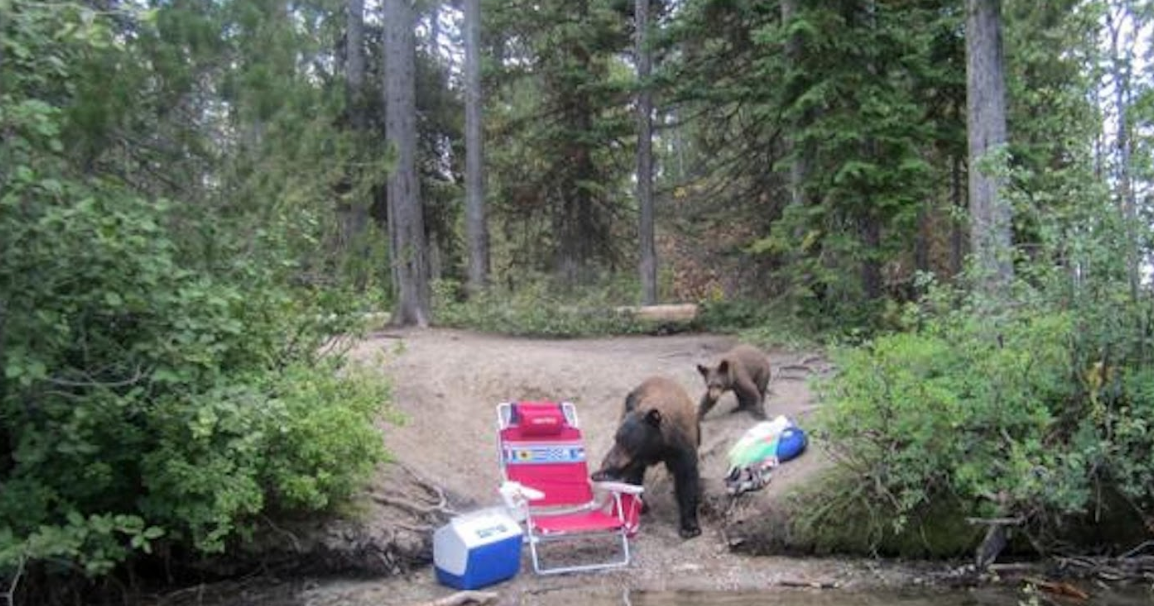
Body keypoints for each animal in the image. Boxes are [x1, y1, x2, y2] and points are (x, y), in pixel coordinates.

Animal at [590, 376, 702, 539]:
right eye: (616, 438)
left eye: (627, 442)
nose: (607, 462)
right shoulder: (634, 459)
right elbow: (634, 477)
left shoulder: (682, 446)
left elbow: (687, 478)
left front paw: (690, 527)